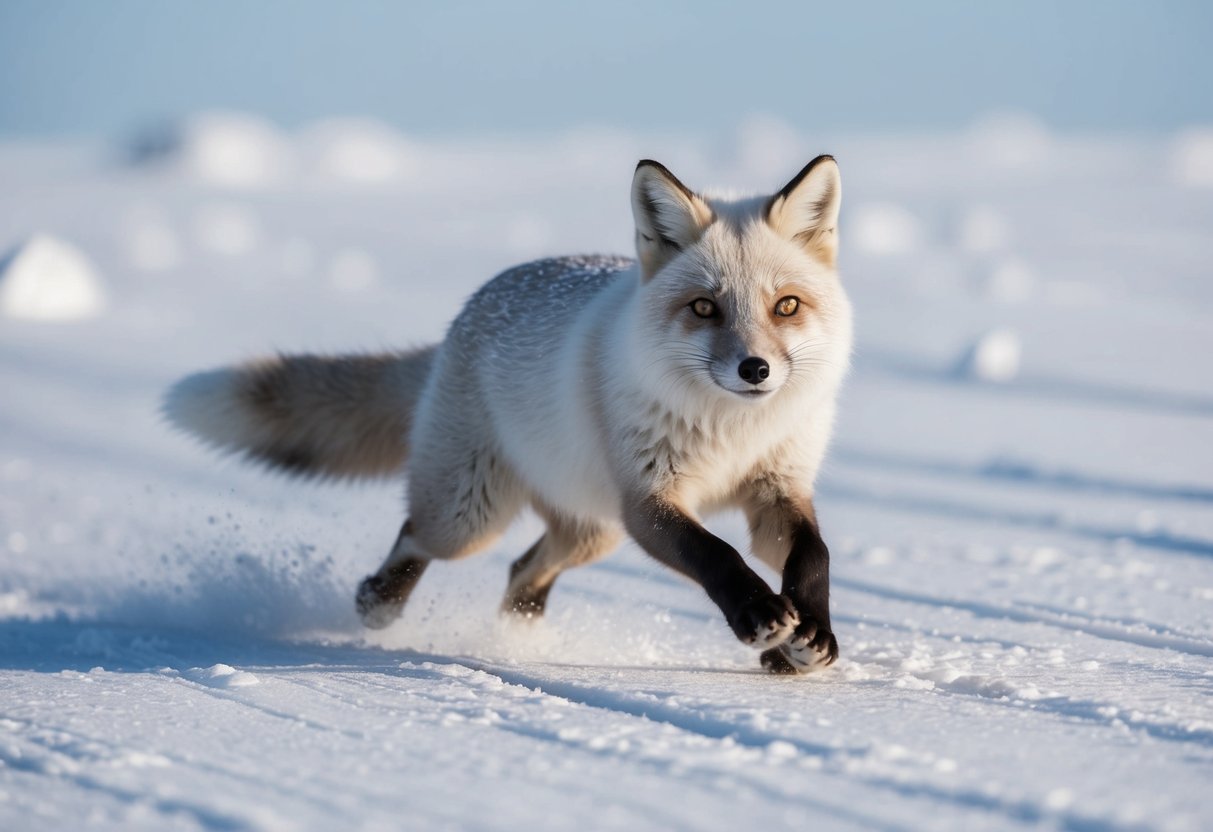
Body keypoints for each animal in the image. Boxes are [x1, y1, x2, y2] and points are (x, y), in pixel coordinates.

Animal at [164, 155, 853, 674]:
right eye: (705, 308)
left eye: (787, 306)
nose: (755, 370)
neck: (732, 433)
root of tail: (472, 306)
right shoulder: (650, 500)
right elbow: (716, 553)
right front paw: (760, 616)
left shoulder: (777, 487)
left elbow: (812, 555)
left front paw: (806, 636)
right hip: (476, 515)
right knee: (418, 534)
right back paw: (380, 604)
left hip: (591, 525)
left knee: (524, 572)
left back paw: (519, 641)